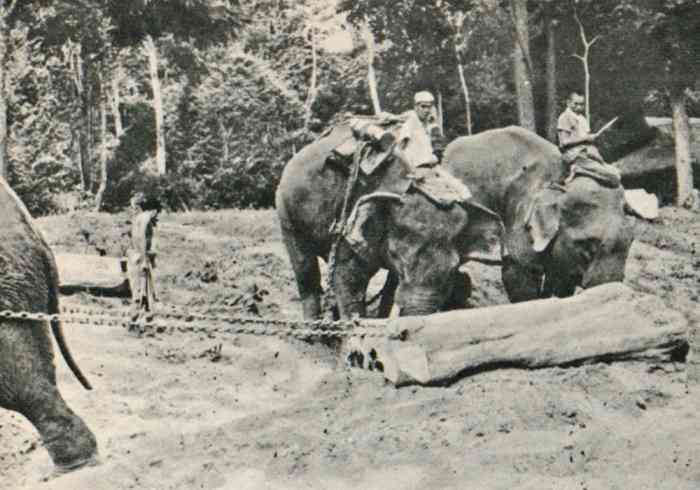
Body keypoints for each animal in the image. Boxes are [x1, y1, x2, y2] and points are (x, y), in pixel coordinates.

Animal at [276, 123, 504, 319]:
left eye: (452, 270)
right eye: (396, 256)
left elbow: (388, 287)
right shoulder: (347, 217)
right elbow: (347, 279)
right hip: (286, 213)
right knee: (305, 269)